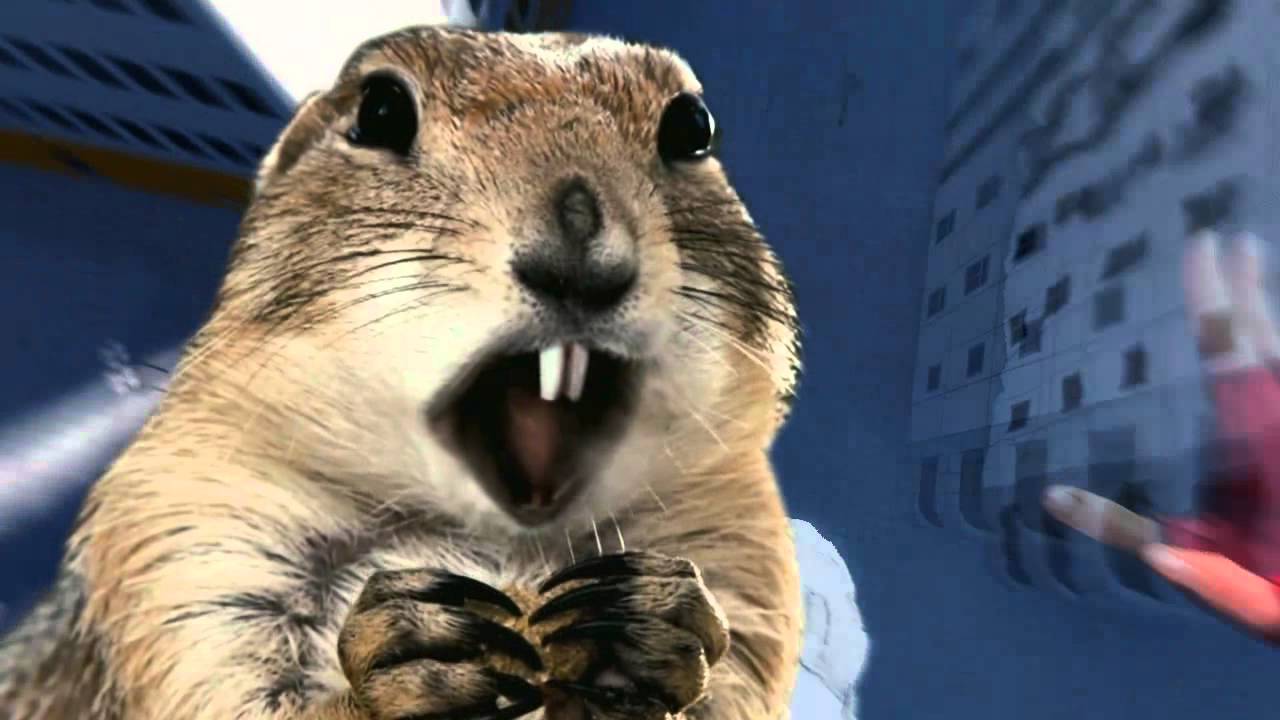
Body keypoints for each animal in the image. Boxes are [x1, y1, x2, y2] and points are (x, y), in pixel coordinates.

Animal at [0, 27, 804, 720]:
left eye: (691, 127)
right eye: (380, 109)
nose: (578, 244)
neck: (501, 541)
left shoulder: (743, 556)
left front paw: (642, 621)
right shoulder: (187, 543)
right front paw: (415, 651)